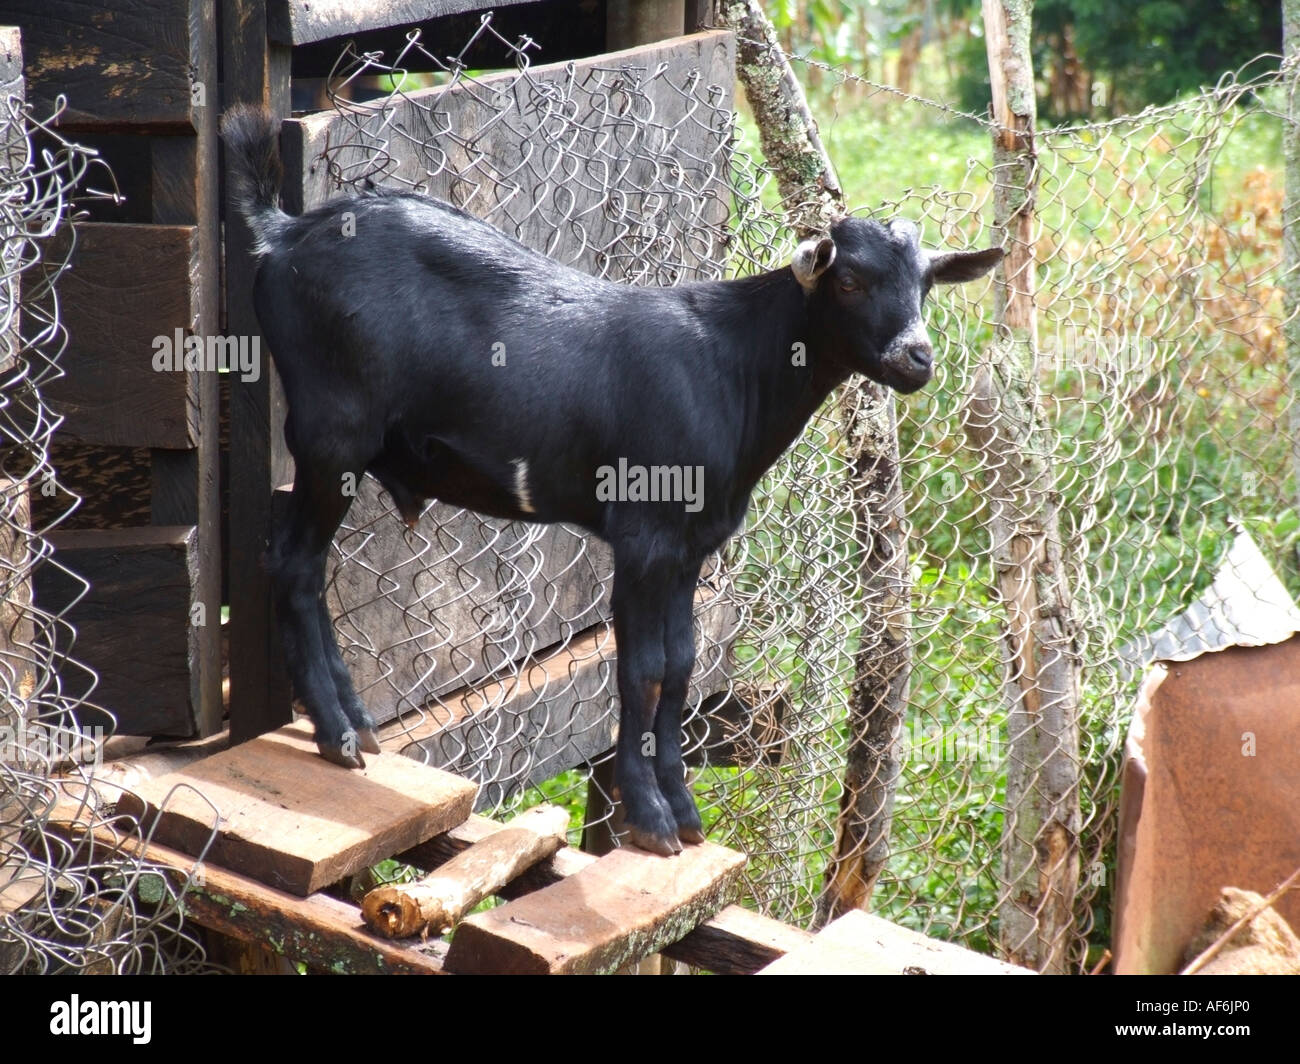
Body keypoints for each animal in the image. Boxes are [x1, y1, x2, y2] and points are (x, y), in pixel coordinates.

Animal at [220, 105, 1001, 856]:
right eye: (849, 279)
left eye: (926, 285)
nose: (916, 359)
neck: (731, 366)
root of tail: (286, 232)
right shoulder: (643, 534)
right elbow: (642, 669)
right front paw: (651, 819)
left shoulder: (692, 543)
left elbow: (682, 667)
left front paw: (684, 812)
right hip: (333, 431)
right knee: (291, 561)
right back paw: (337, 734)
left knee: (307, 565)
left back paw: (355, 723)